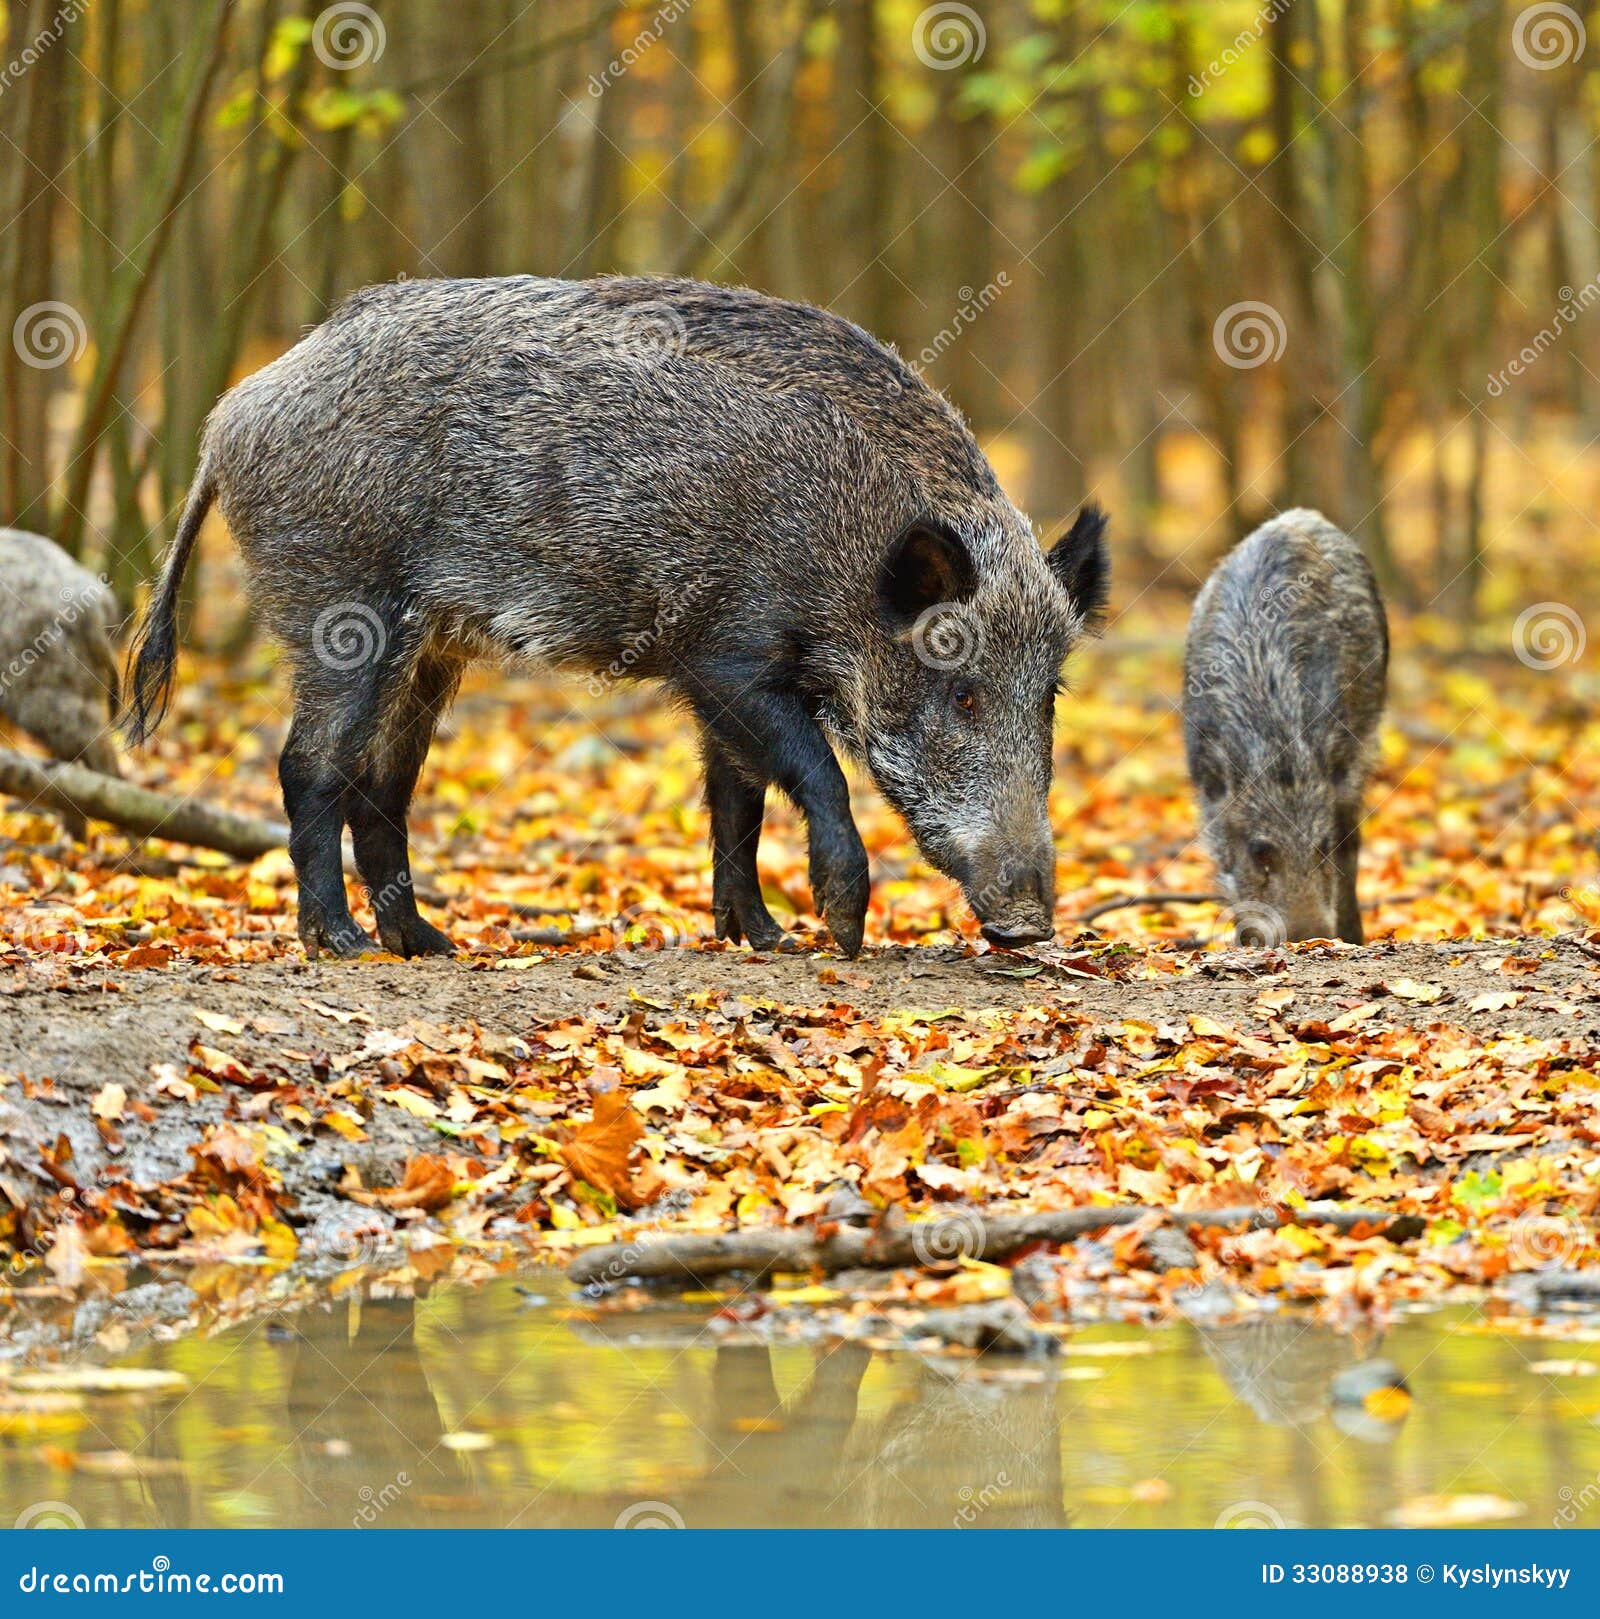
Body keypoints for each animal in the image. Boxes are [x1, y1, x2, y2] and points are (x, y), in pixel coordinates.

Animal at [125, 276, 1110, 960]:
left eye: (1050, 695)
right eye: (965, 693)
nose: (1030, 922)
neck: (846, 552)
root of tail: (229, 418)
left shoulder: (720, 686)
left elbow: (736, 799)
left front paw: (764, 937)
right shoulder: (720, 650)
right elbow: (814, 775)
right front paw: (837, 932)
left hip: (430, 648)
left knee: (382, 785)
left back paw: (430, 944)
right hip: (337, 605)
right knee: (309, 766)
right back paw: (340, 942)